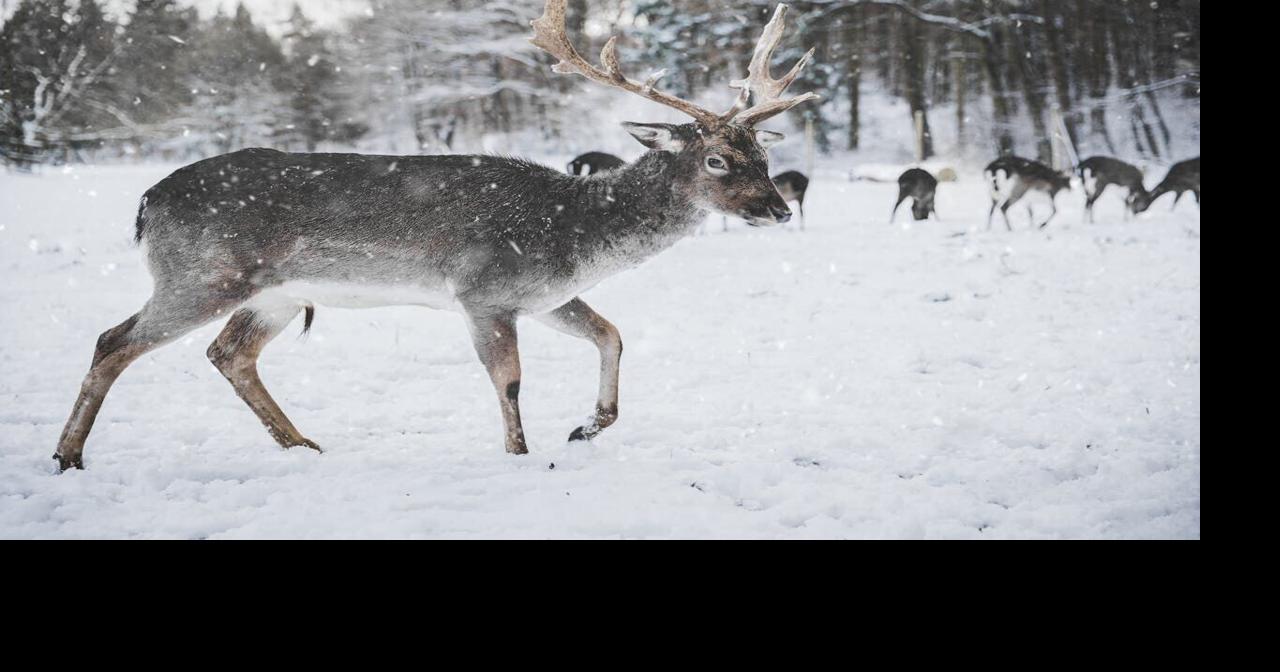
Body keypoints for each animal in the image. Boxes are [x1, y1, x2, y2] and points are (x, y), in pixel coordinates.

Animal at [51, 0, 818, 471]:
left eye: (764, 154)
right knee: (113, 341)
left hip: (272, 292)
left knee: (228, 353)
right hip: (203, 272)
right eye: (716, 160)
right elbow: (509, 378)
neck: (576, 235)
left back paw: (303, 445)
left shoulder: (544, 296)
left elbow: (612, 333)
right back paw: (68, 456)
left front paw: (586, 426)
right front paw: (519, 455)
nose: (779, 211)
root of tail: (146, 202)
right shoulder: (485, 290)